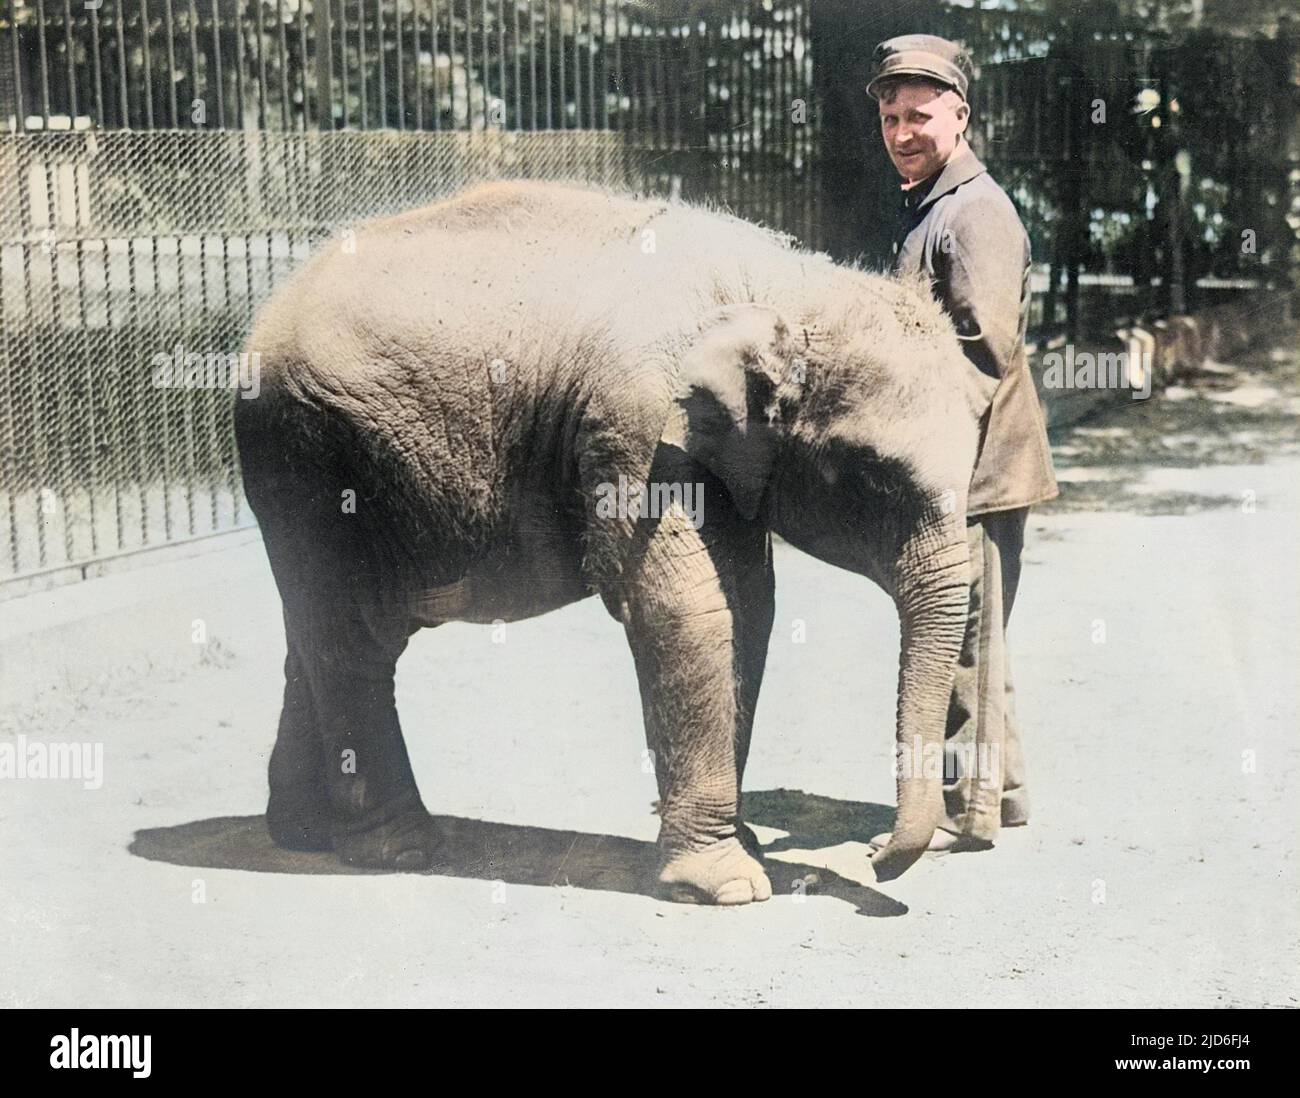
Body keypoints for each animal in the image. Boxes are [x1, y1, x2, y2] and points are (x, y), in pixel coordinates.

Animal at [233, 179, 996, 905]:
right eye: (871, 479)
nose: (874, 855)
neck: (780, 283)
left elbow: (750, 604)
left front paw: (743, 846)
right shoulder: (639, 427)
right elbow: (687, 611)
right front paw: (730, 886)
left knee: (326, 636)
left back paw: (303, 833)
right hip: (307, 452)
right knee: (354, 639)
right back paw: (398, 848)